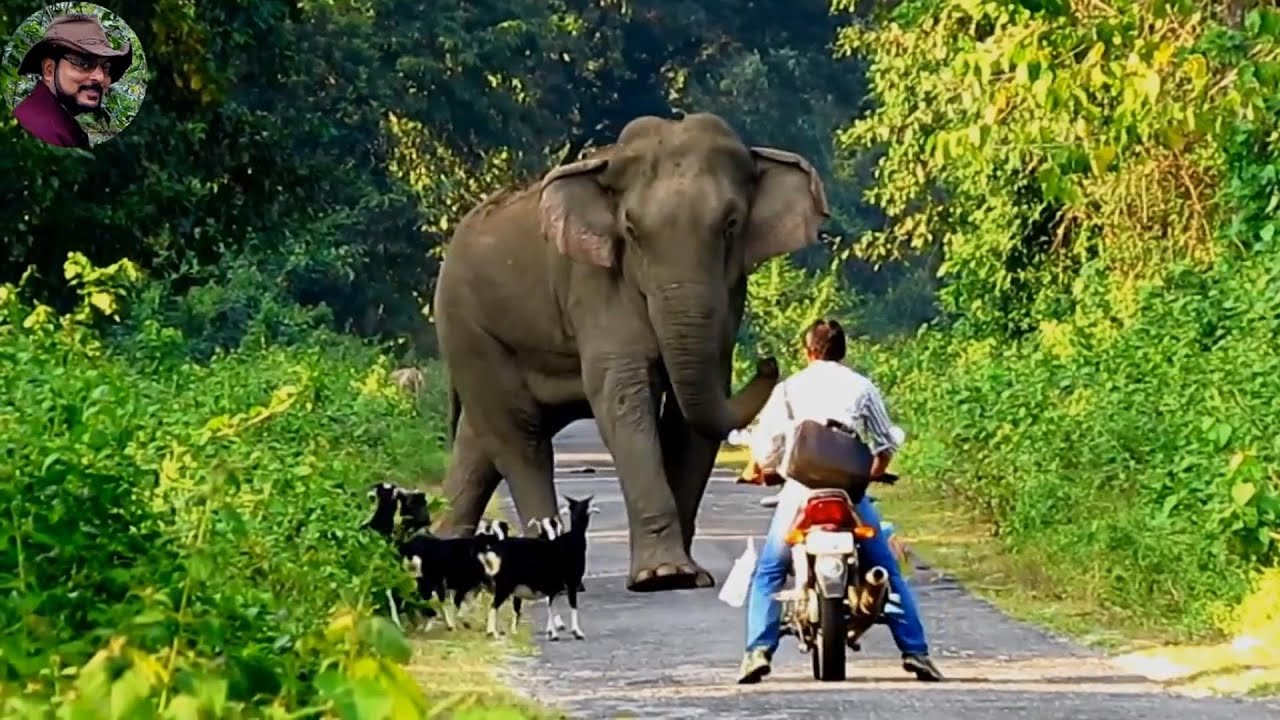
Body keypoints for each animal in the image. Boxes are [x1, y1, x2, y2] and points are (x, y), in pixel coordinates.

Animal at [432, 112, 830, 592]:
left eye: (731, 224)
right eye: (632, 232)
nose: (768, 360)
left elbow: (688, 412)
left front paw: (685, 574)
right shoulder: (595, 283)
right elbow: (623, 396)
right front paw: (663, 576)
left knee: (479, 439)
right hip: (468, 328)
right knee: (520, 436)